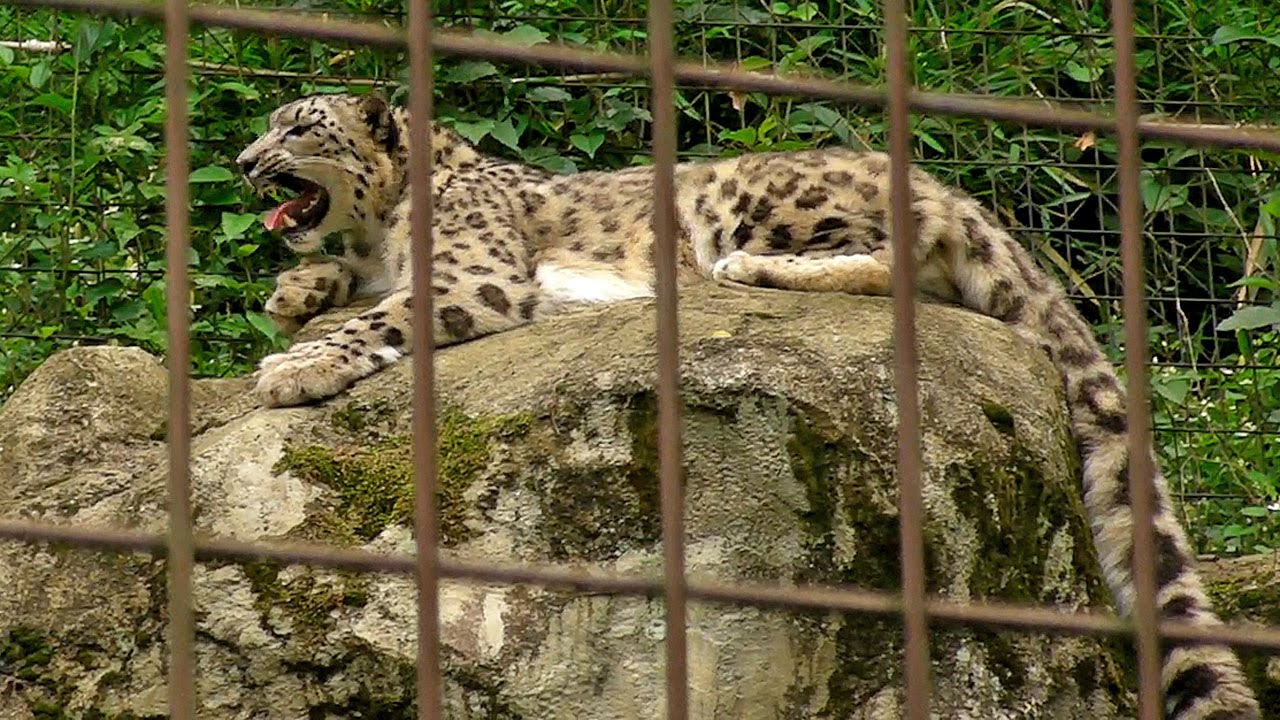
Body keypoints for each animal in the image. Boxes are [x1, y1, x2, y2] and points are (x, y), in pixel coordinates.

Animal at [234, 90, 1259, 719]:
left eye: (300, 129)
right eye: (270, 127)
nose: (244, 161)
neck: (381, 226)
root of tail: (957, 192)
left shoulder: (470, 277)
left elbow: (390, 313)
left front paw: (293, 365)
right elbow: (352, 285)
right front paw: (295, 293)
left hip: (765, 197)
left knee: (893, 265)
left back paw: (744, 270)